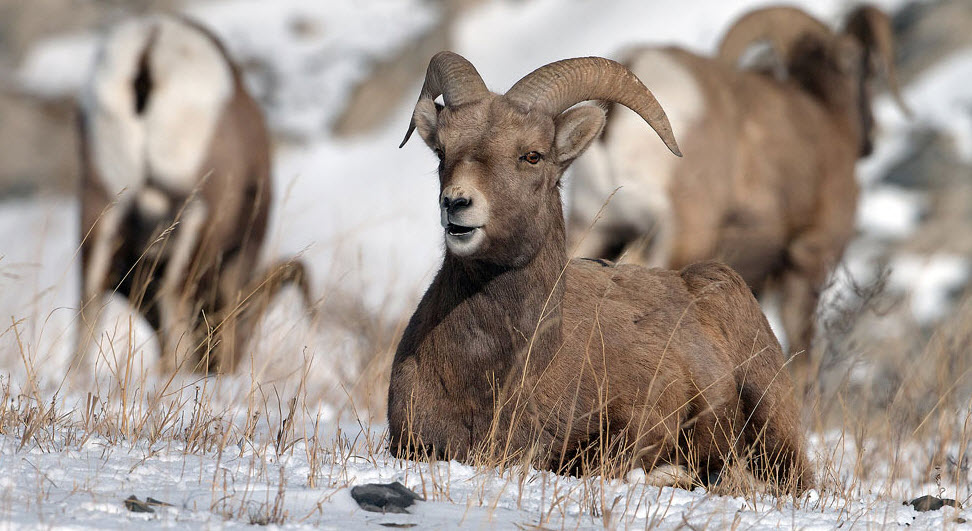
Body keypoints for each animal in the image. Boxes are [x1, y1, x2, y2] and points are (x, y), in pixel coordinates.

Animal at [75, 15, 310, 374]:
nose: (219, 366)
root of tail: (149, 53)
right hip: (197, 214)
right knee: (175, 293)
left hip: (101, 205)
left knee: (89, 298)